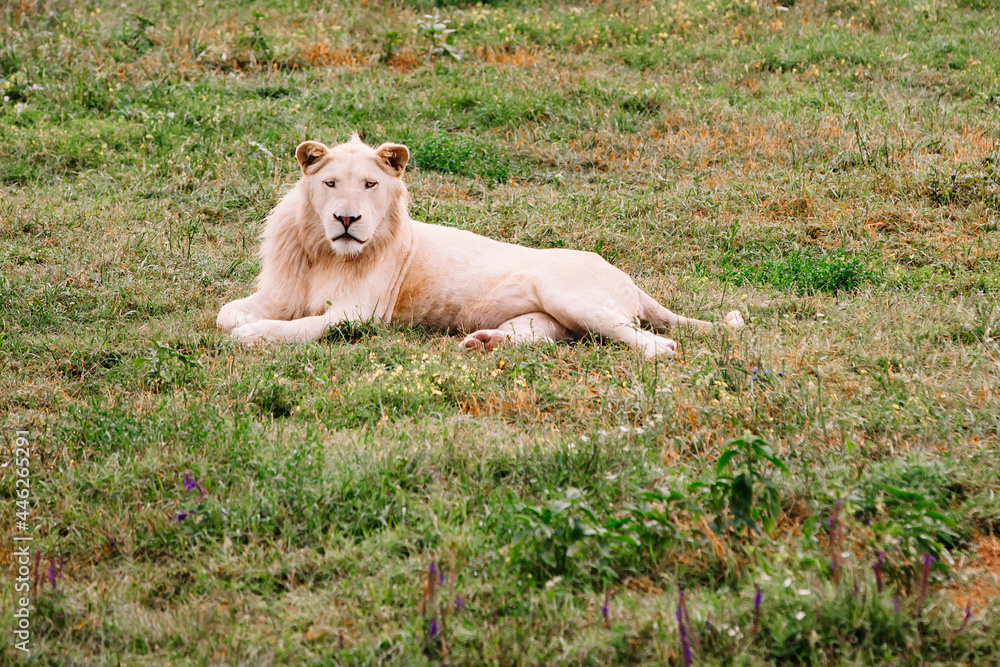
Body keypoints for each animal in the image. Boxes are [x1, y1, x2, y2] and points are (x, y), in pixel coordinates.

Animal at [217, 135, 744, 358]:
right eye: (329, 183)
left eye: (369, 184)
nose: (347, 219)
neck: (326, 252)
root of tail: (628, 278)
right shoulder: (281, 292)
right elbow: (226, 312)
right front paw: (241, 321)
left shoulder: (358, 315)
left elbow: (300, 327)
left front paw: (252, 334)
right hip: (553, 317)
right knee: (546, 335)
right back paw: (484, 342)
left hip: (570, 297)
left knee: (657, 342)